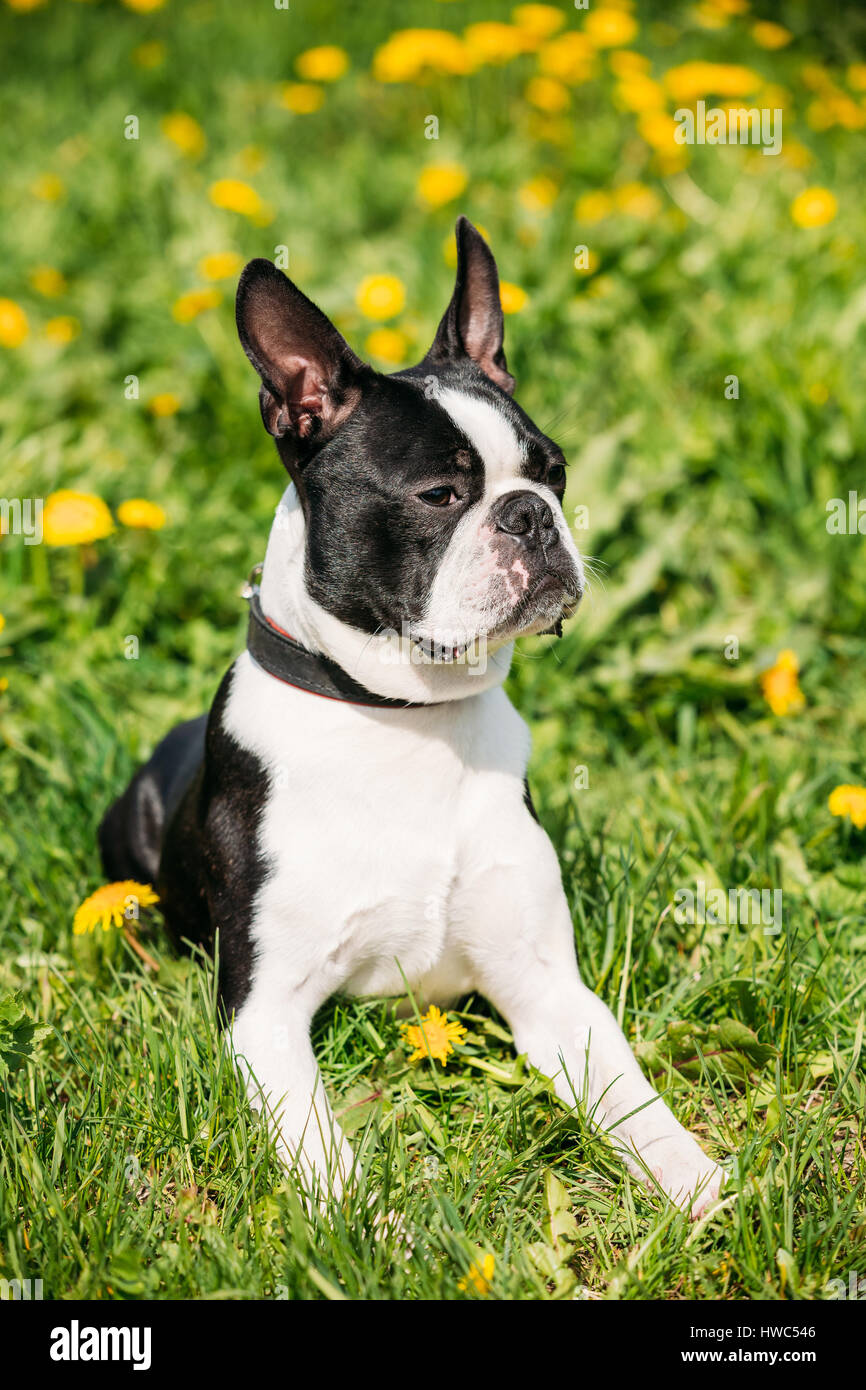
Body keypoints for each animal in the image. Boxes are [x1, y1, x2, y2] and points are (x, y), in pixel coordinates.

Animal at [100, 216, 722, 1217]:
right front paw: (365, 1227)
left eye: (553, 472)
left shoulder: (545, 987)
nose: (531, 514)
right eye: (440, 495)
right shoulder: (266, 1014)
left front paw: (691, 1177)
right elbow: (317, 1143)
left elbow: (629, 1092)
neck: (401, 717)